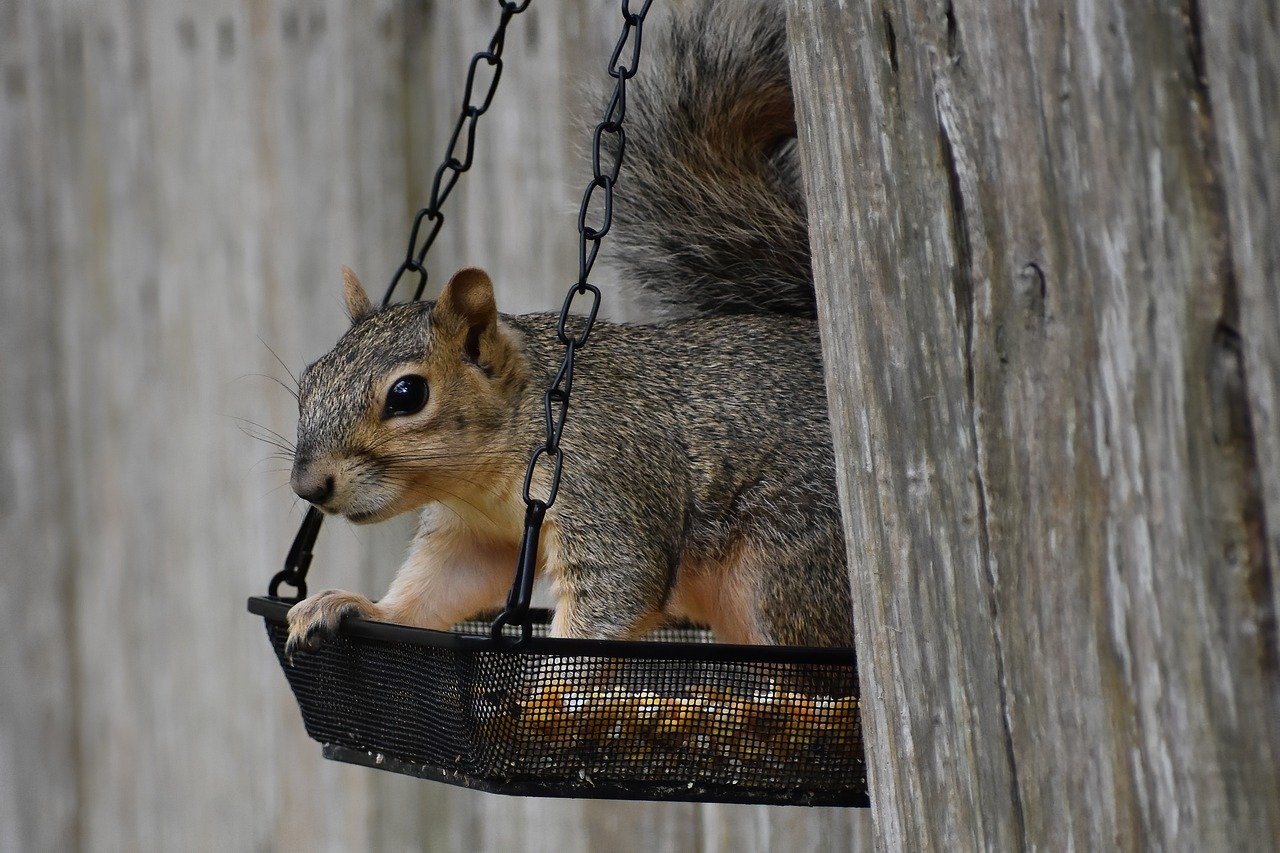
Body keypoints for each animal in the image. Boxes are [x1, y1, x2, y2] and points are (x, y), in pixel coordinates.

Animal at [283, 0, 853, 655]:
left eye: (408, 394)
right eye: (308, 379)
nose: (308, 487)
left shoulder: (603, 479)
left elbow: (615, 587)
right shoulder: (475, 535)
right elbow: (437, 589)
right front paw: (352, 604)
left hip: (789, 565)